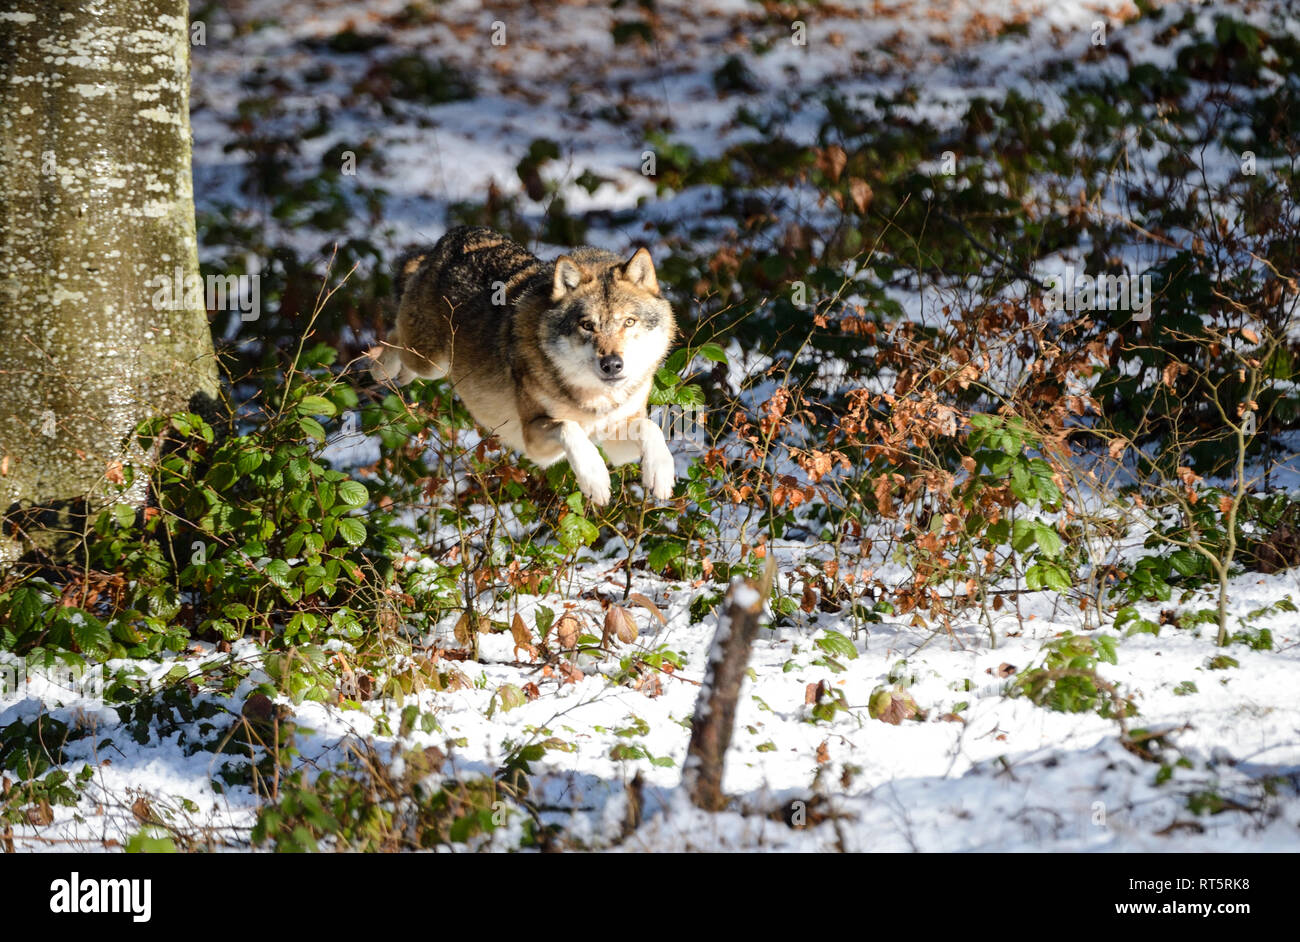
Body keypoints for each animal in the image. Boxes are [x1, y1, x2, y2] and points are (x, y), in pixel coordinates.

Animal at [368, 226, 677, 506]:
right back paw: (379, 370)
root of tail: (451, 237)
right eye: (587, 325)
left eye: (629, 322)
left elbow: (651, 428)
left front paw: (661, 474)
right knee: (394, 339)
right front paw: (595, 480)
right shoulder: (535, 443)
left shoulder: (617, 441)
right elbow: (570, 427)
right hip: (430, 361)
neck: (593, 398)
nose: (612, 365)